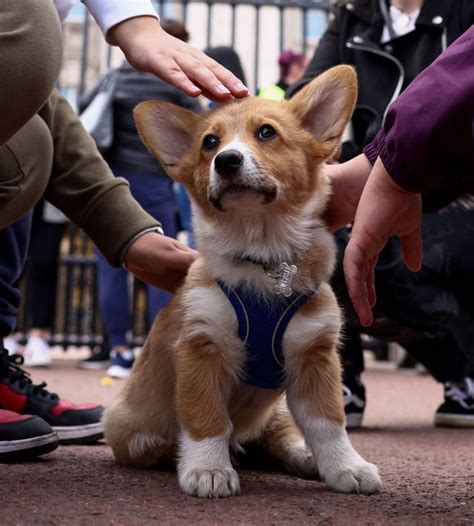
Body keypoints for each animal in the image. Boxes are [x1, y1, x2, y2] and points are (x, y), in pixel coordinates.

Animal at [103, 65, 382, 500]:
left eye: (267, 132)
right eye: (209, 142)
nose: (227, 161)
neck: (263, 258)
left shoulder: (315, 357)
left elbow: (329, 423)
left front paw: (345, 467)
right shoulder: (202, 348)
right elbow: (206, 419)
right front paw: (208, 469)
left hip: (277, 409)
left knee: (279, 436)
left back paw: (303, 457)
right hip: (127, 428)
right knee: (164, 441)